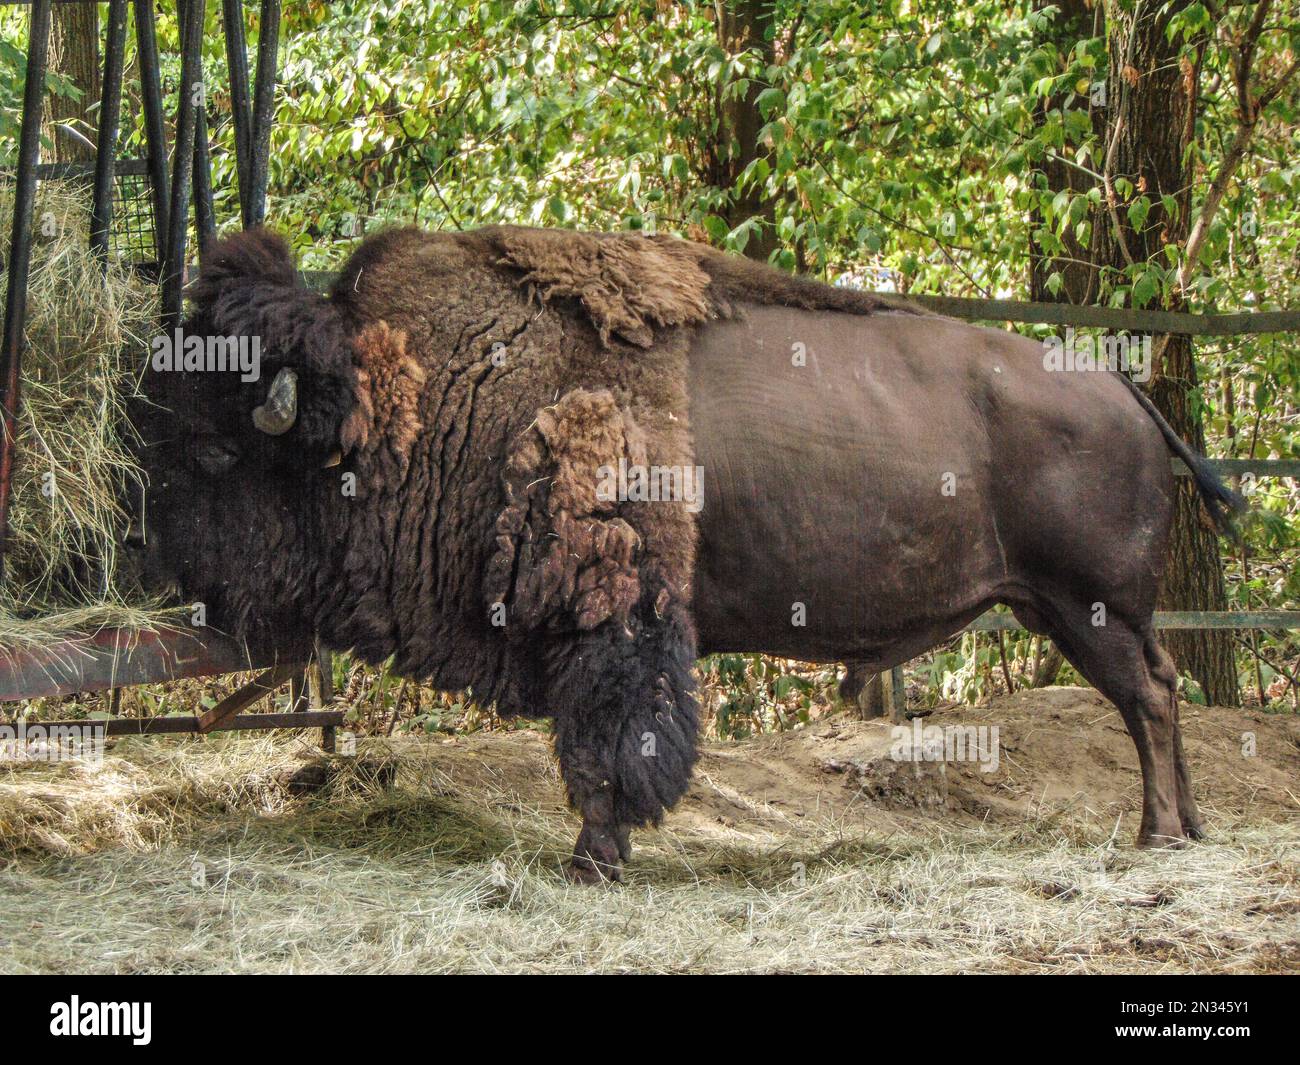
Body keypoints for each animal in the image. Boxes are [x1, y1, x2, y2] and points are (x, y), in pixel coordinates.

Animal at [134, 224, 1242, 882]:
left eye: (216, 448)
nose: (157, 562)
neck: (428, 390)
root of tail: (1123, 390)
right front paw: (598, 855)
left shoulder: (613, 623)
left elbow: (605, 746)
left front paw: (593, 859)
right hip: (1066, 608)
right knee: (1162, 689)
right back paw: (1183, 829)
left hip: (1090, 607)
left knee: (1147, 697)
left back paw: (1157, 833)